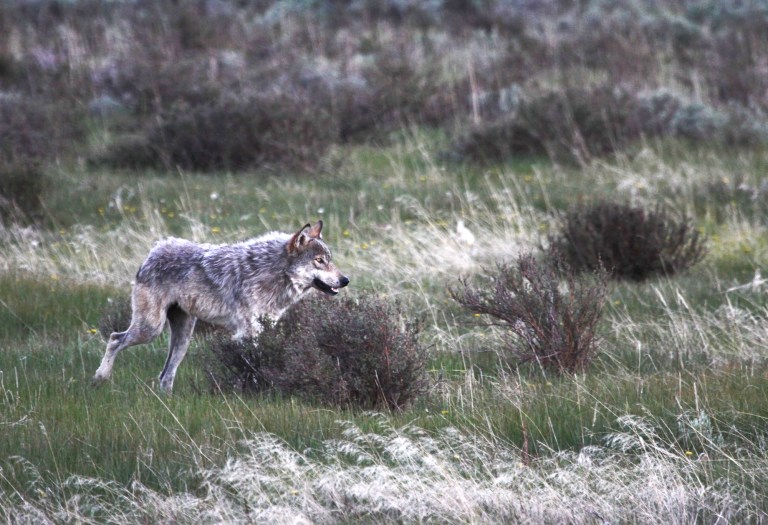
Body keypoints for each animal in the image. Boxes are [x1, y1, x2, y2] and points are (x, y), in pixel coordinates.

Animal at [92, 220, 349, 393]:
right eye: (319, 261)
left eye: (330, 260)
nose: (345, 280)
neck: (273, 272)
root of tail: (155, 249)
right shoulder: (248, 332)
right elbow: (252, 364)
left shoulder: (264, 328)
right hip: (150, 329)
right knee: (115, 338)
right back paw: (101, 377)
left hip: (183, 338)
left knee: (165, 375)